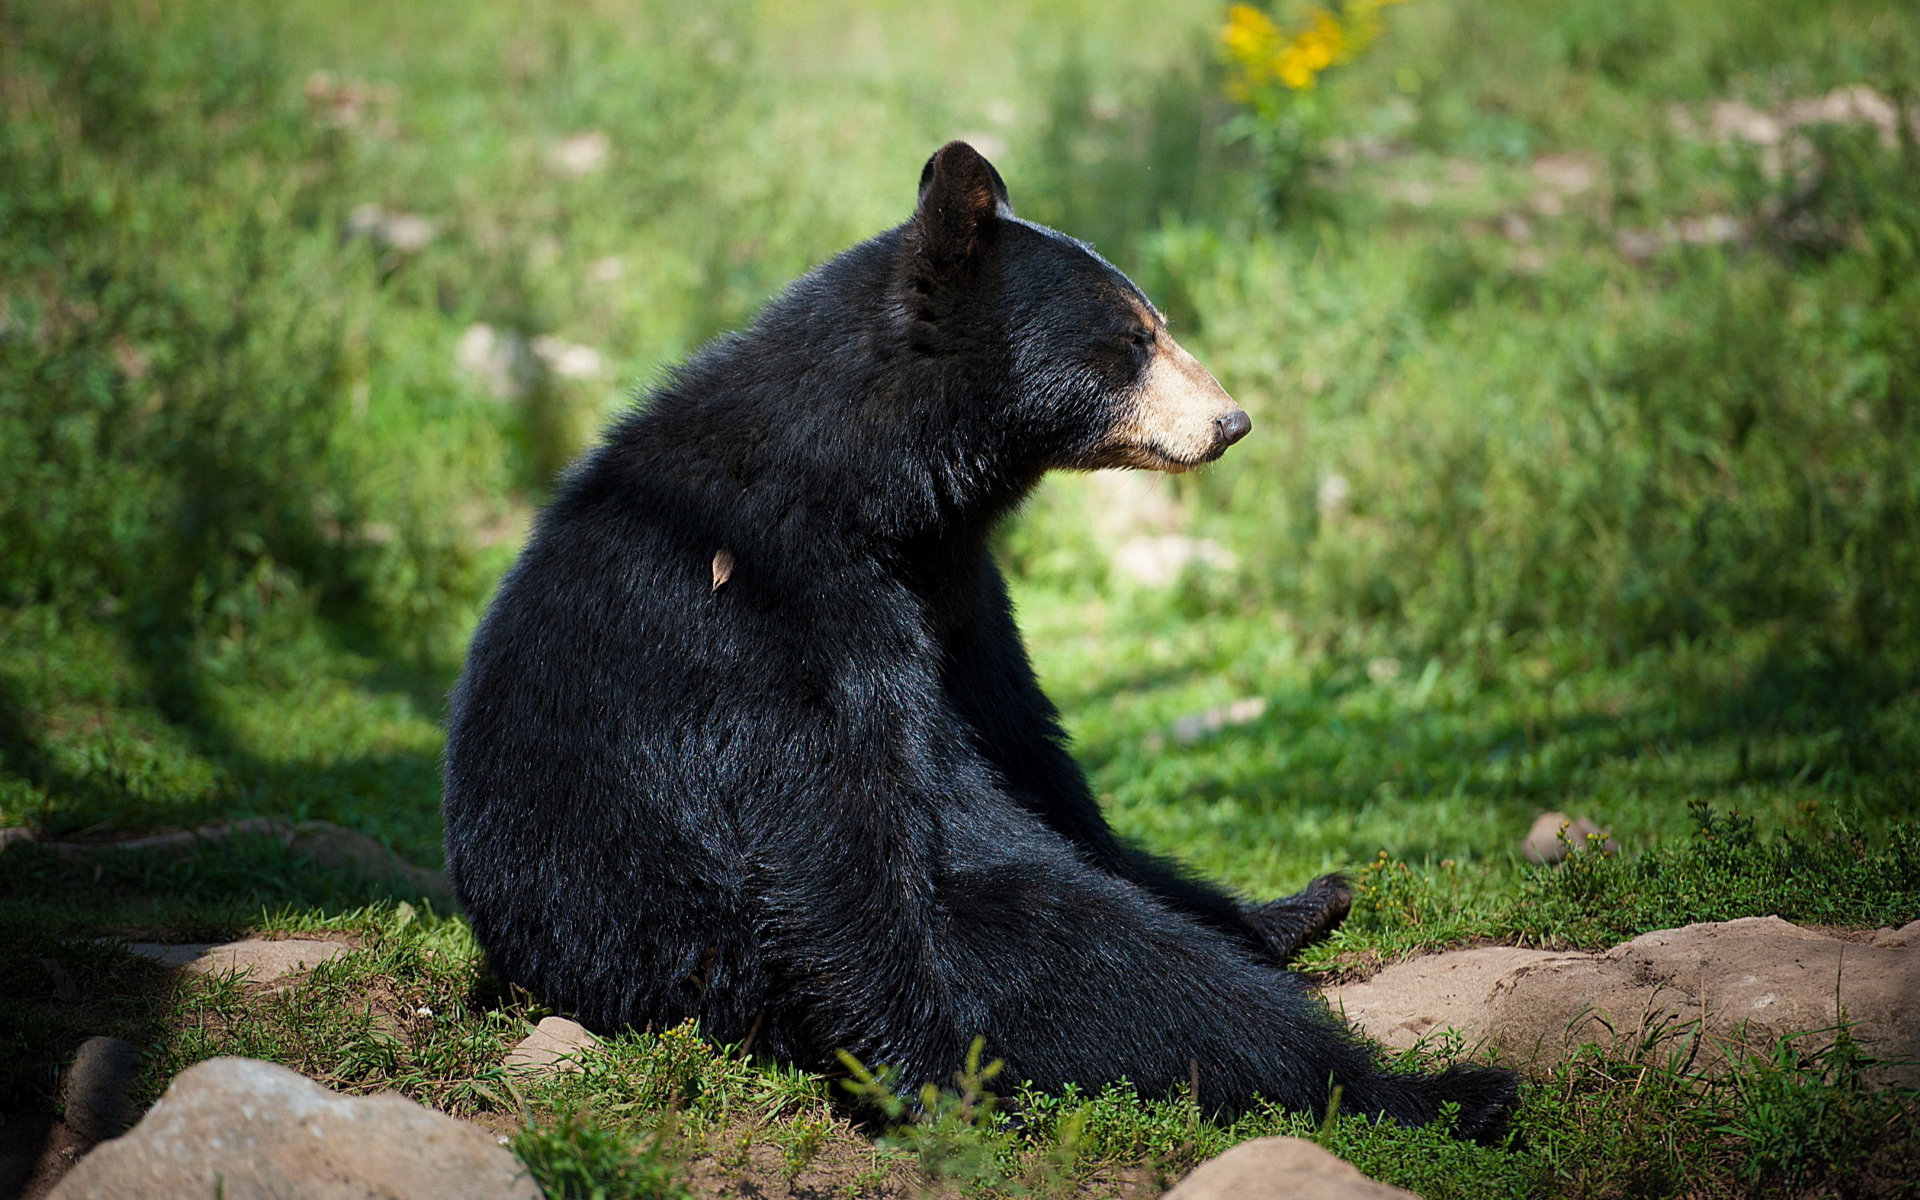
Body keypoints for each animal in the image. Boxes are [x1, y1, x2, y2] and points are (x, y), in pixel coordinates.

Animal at [443, 142, 1516, 1140]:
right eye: (1133, 337)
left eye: (1157, 323)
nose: (1231, 421)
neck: (879, 492)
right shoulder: (773, 613)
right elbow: (832, 837)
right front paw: (934, 1083)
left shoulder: (957, 592)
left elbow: (1028, 750)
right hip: (707, 958)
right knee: (1120, 968)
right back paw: (1438, 1090)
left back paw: (1300, 907)